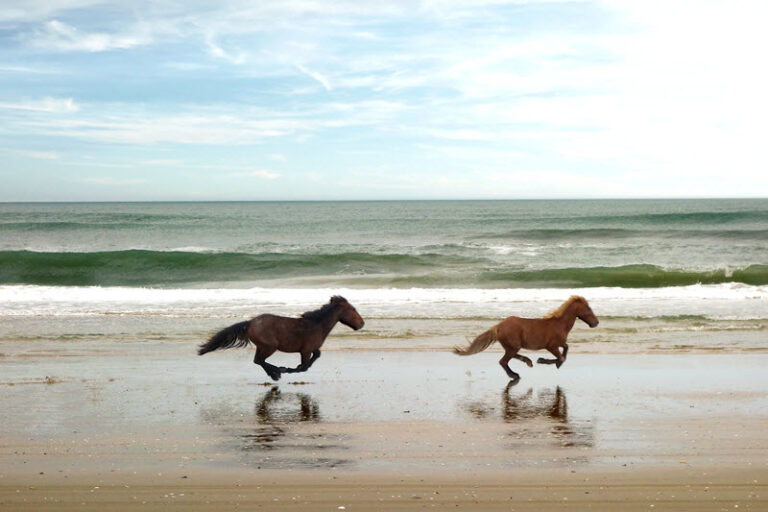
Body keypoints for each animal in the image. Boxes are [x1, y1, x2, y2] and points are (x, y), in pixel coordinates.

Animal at [198, 296, 364, 381]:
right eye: (353, 309)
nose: (362, 323)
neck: (317, 324)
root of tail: (249, 323)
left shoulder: (313, 348)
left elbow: (315, 357)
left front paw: (291, 368)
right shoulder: (305, 350)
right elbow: (303, 367)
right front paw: (288, 369)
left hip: (262, 346)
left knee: (258, 360)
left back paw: (275, 373)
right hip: (270, 347)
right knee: (260, 360)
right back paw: (277, 372)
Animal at [453, 295, 598, 381]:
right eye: (588, 308)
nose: (596, 323)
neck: (559, 324)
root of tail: (498, 326)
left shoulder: (559, 343)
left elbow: (566, 349)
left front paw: (548, 361)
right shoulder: (551, 346)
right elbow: (561, 357)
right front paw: (545, 361)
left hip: (512, 346)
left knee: (510, 357)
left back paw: (527, 361)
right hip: (513, 346)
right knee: (503, 361)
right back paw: (515, 374)